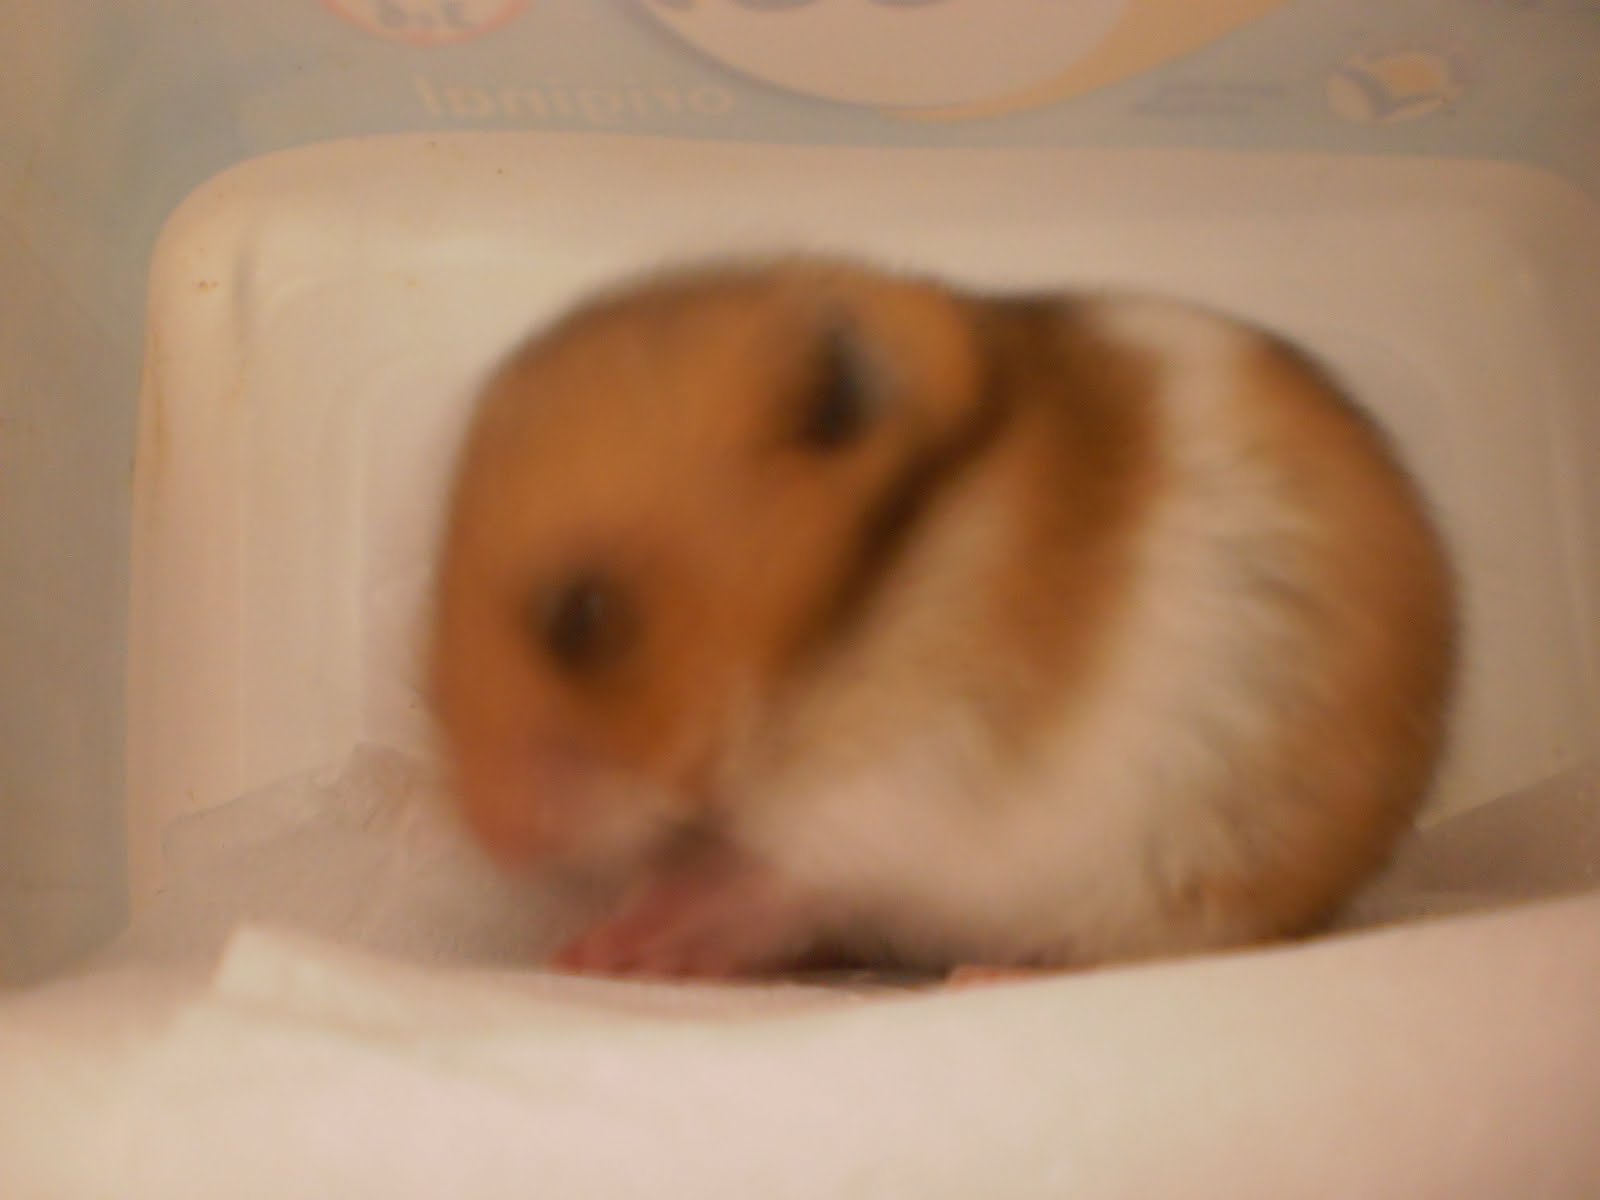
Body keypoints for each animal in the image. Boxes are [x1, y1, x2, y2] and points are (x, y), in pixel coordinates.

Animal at [426, 256, 1456, 979]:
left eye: (584, 617)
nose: (487, 836)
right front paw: (583, 949)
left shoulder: (899, 785)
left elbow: (767, 876)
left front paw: (620, 947)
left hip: (1200, 886)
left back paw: (982, 975)